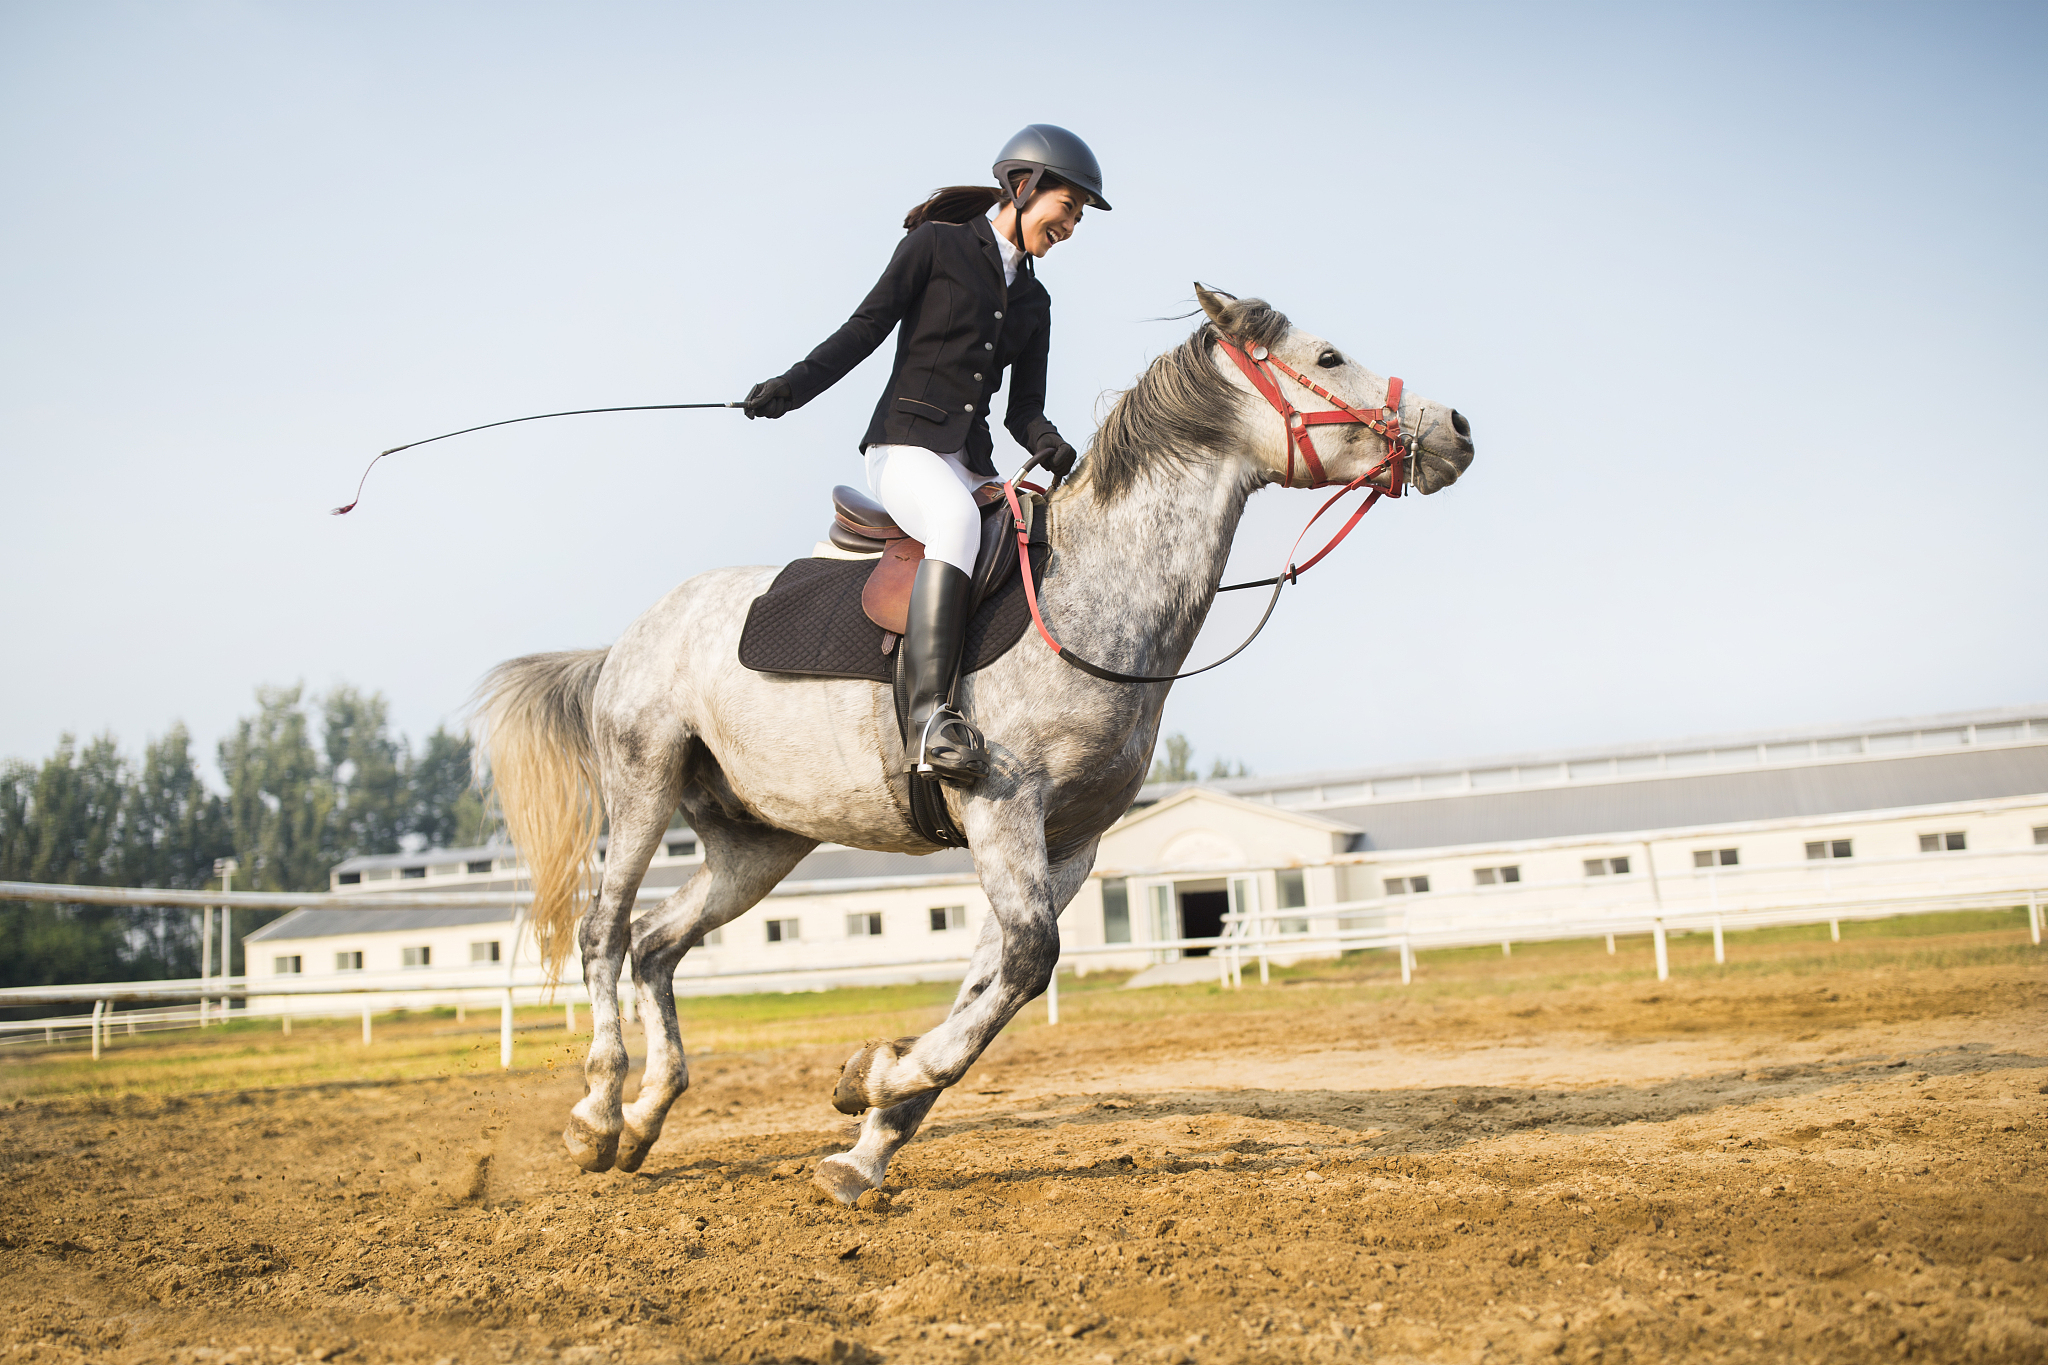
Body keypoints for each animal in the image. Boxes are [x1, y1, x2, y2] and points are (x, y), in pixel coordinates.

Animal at [474, 285, 1476, 1204]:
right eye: (1330, 354)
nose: (1456, 428)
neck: (1092, 598)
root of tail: (630, 637)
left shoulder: (1070, 843)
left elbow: (991, 981)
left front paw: (869, 1134)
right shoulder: (1005, 810)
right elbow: (1028, 961)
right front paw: (881, 1078)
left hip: (758, 843)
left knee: (655, 945)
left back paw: (647, 1115)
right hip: (641, 784)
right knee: (606, 934)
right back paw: (598, 1113)